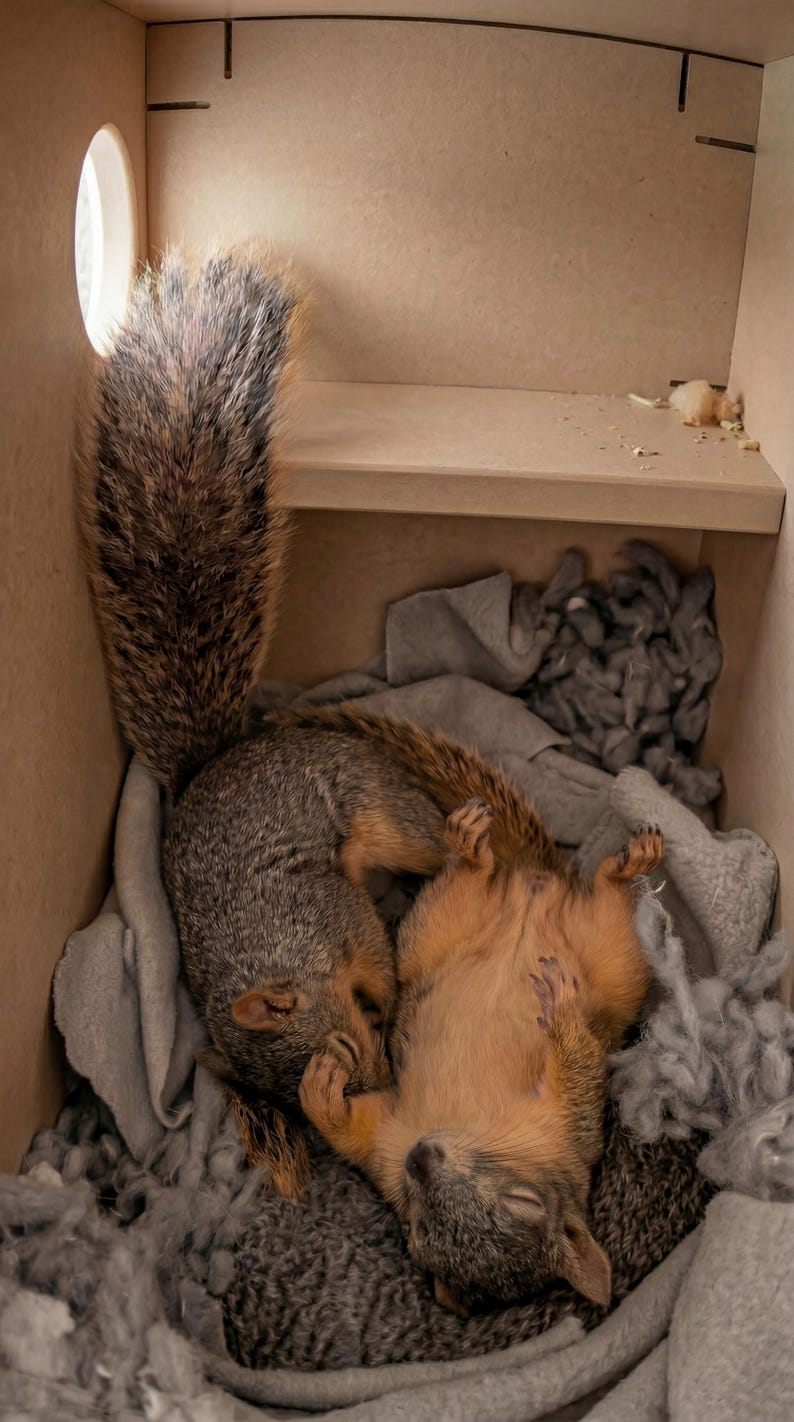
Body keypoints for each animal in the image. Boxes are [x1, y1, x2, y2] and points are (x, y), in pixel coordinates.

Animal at [76, 248, 561, 1198]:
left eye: (335, 1050)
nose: (374, 1086)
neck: (281, 959)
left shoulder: (337, 920)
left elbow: (382, 956)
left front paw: (399, 998)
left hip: (377, 807)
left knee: (425, 839)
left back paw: (466, 845)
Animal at [299, 798, 663, 1313]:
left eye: (524, 1202)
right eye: (418, 1227)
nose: (421, 1157)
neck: (471, 1131)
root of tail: (535, 891)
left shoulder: (572, 1124)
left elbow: (581, 1068)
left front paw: (561, 1010)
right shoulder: (388, 1151)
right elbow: (358, 1129)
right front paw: (320, 1092)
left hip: (618, 958)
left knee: (611, 903)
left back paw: (628, 866)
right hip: (437, 926)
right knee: (473, 882)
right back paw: (473, 848)